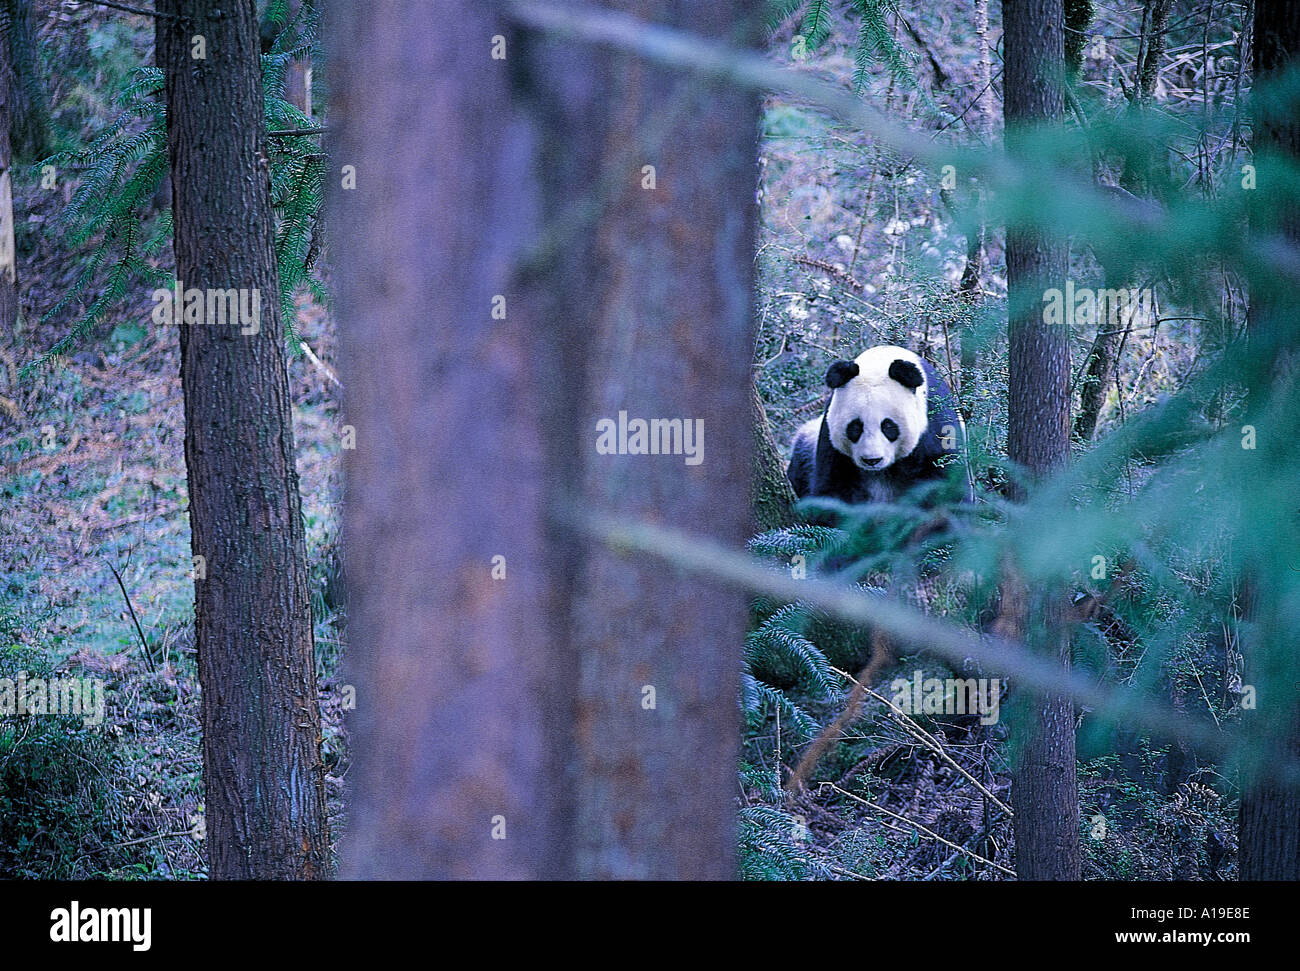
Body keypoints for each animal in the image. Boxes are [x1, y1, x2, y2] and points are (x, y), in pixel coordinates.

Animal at [786, 345, 970, 506]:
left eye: (888, 426)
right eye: (855, 427)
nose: (872, 460)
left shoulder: (935, 423)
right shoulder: (830, 438)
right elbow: (833, 486)